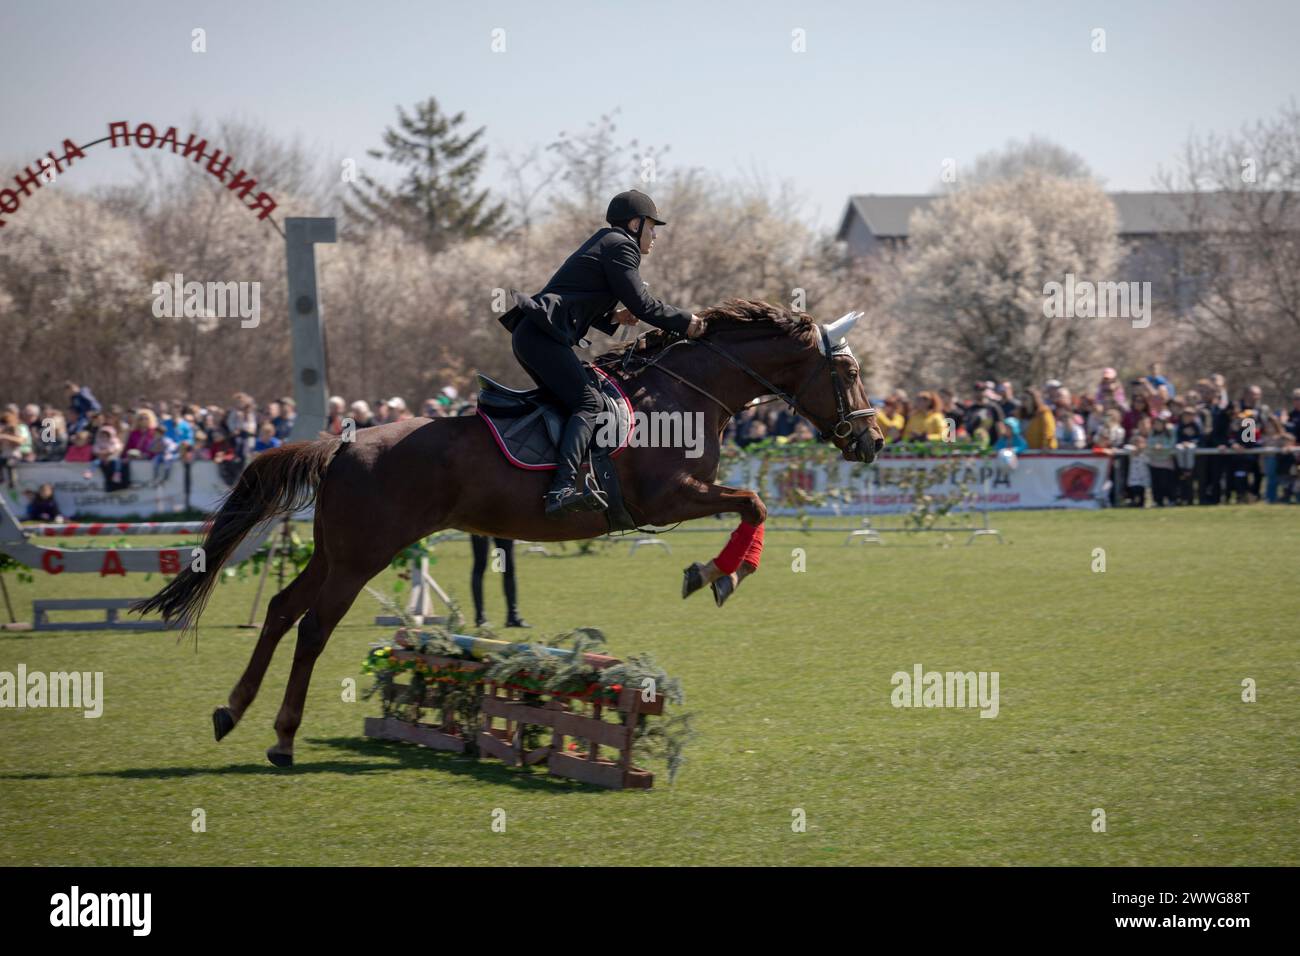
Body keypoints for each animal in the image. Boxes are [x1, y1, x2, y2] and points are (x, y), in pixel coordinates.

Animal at [133, 298, 884, 766]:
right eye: (846, 371)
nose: (872, 441)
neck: (683, 393)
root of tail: (342, 444)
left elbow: (753, 505)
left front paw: (717, 572)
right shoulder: (668, 498)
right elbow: (754, 503)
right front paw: (719, 573)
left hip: (334, 550)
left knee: (283, 610)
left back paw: (233, 711)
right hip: (361, 555)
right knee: (313, 626)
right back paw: (282, 739)